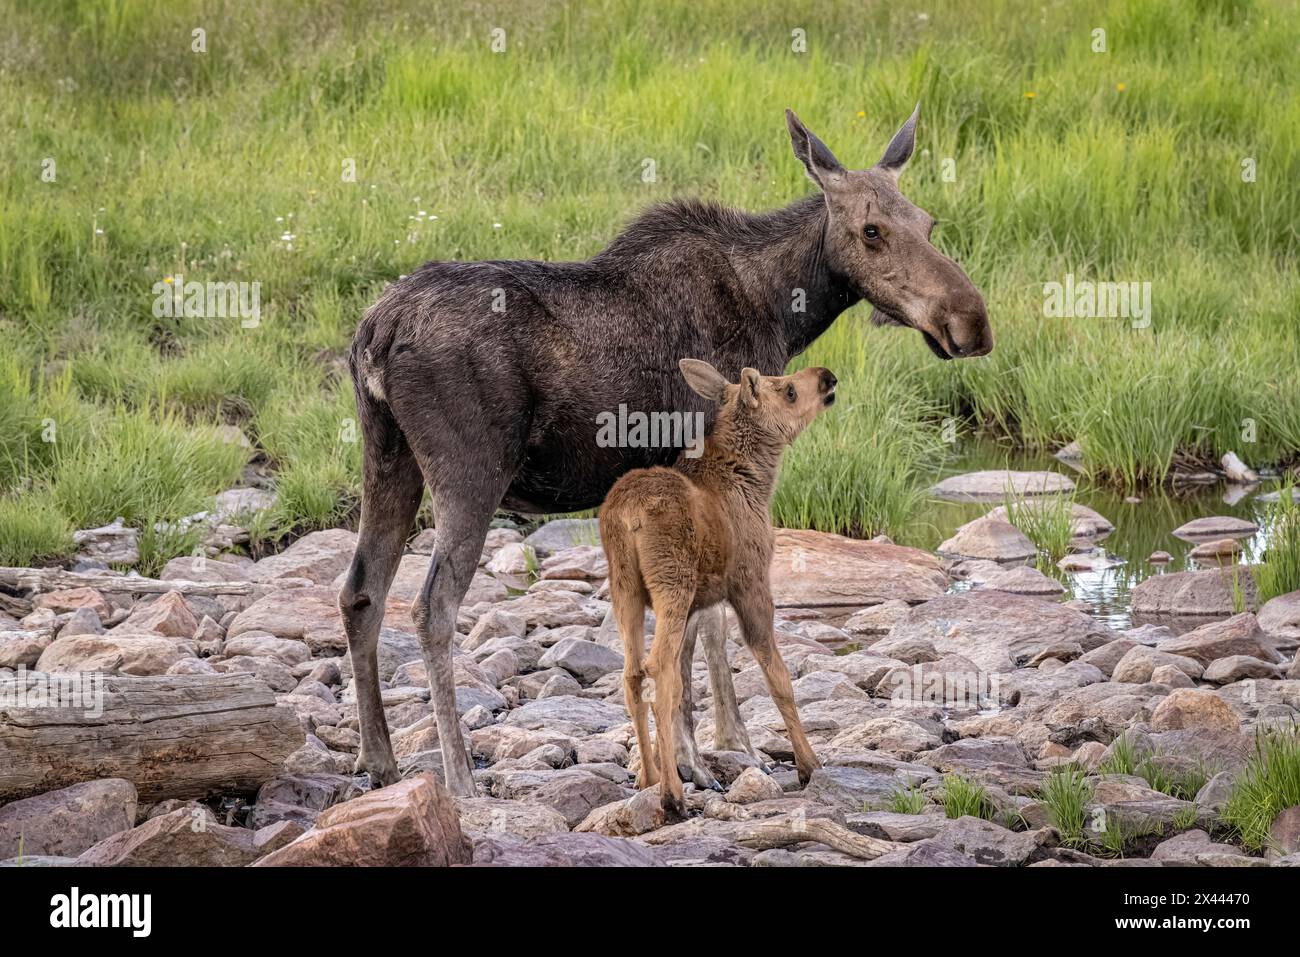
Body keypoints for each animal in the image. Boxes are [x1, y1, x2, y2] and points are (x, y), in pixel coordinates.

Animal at [601, 358, 837, 816]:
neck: (758, 479)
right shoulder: (751, 582)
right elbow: (778, 678)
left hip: (625, 588)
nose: (827, 377)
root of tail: (627, 516)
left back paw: (649, 778)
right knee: (659, 672)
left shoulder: (701, 602)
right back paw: (672, 795)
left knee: (632, 674)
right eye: (788, 391)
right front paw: (808, 764)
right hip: (670, 583)